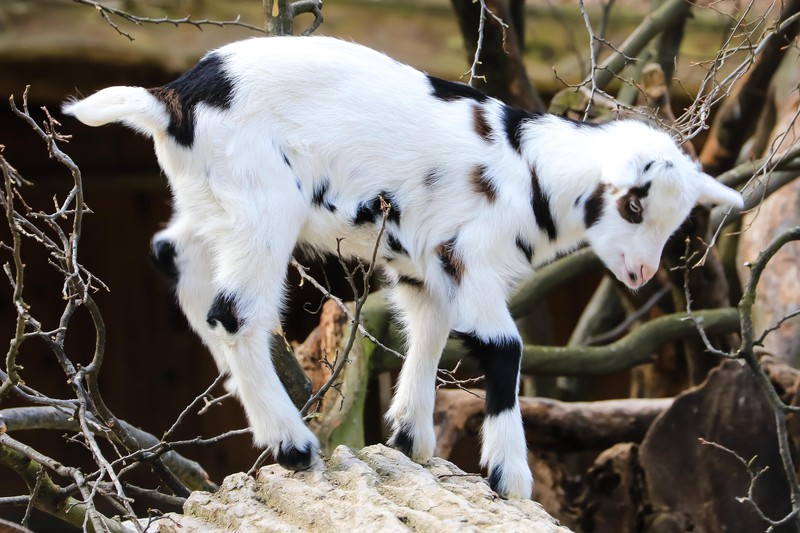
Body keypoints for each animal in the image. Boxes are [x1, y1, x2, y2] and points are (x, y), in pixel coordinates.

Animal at [62, 36, 743, 499]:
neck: (531, 172)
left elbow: (429, 330)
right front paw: (509, 476)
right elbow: (503, 348)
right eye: (633, 205)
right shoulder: (470, 254)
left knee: (175, 259)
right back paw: (293, 445)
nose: (640, 275)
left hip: (210, 200)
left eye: (674, 223)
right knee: (234, 314)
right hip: (261, 204)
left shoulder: (428, 262)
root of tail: (172, 99)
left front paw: (410, 439)